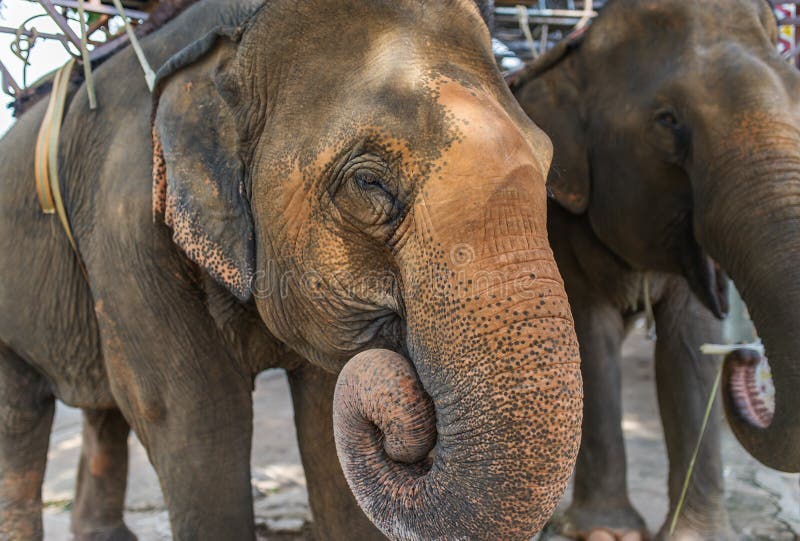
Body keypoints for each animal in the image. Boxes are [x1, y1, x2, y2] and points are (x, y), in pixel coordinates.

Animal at [0, 0, 583, 540]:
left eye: (548, 163)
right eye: (367, 182)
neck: (226, 39)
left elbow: (326, 412)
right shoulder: (125, 224)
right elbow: (192, 413)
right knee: (22, 416)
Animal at [509, 0, 800, 539]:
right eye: (668, 121)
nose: (744, 356)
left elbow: (689, 347)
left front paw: (699, 535)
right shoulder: (553, 223)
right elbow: (591, 342)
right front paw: (607, 533)